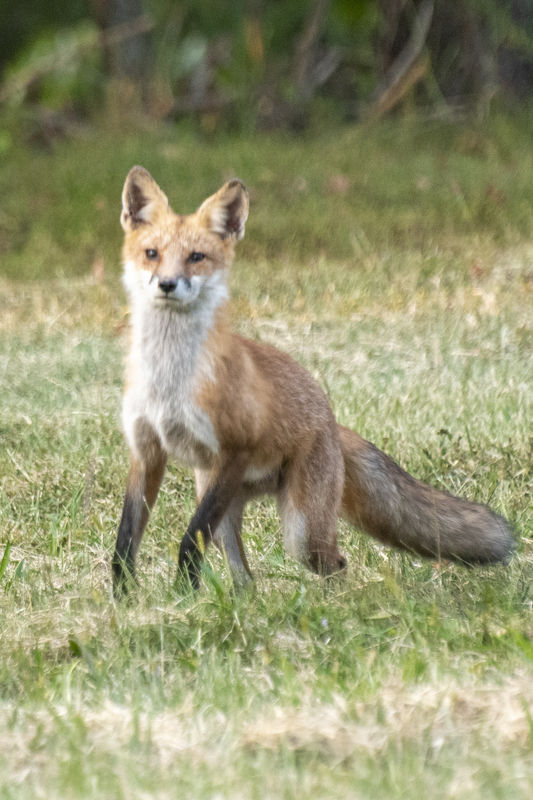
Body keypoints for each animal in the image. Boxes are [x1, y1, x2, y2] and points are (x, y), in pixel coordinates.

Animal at [112, 165, 514, 593]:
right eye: (151, 253)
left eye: (195, 257)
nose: (167, 284)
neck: (169, 382)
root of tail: (331, 419)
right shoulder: (147, 451)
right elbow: (126, 539)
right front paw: (122, 598)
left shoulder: (236, 450)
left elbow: (190, 539)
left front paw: (184, 595)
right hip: (221, 504)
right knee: (245, 577)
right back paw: (246, 602)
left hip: (300, 531)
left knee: (337, 564)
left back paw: (333, 603)